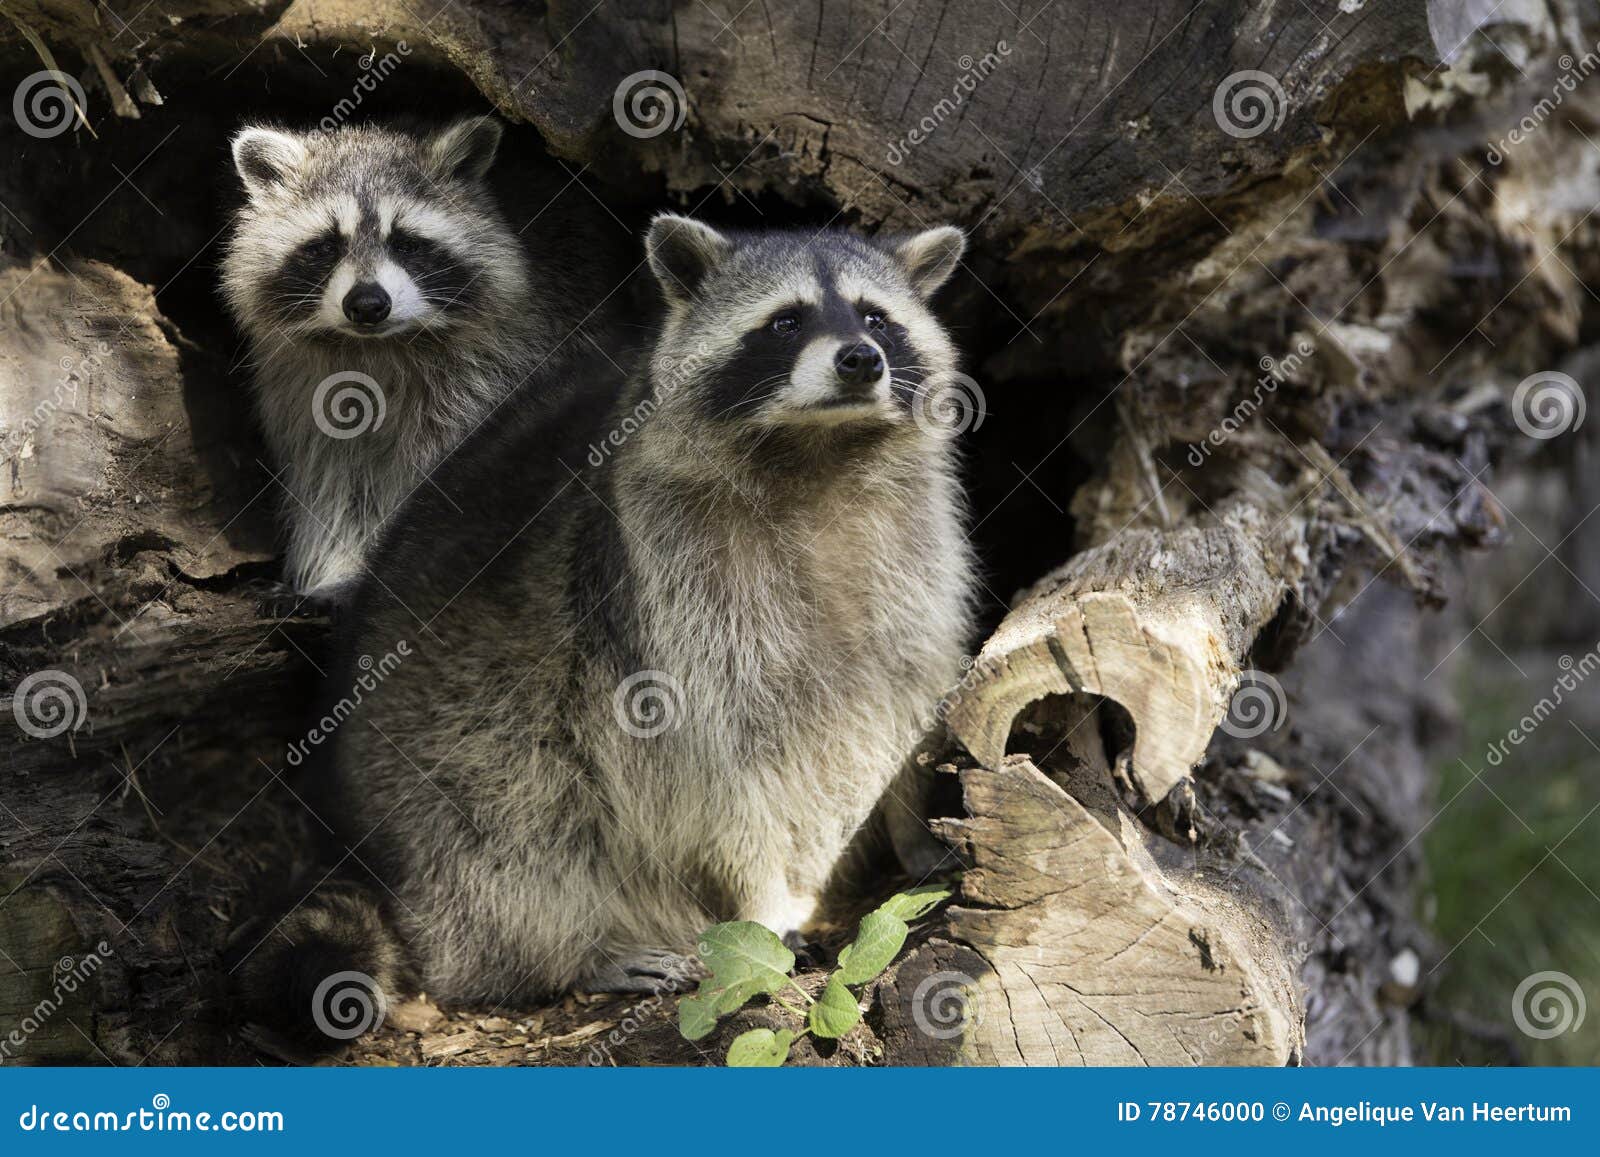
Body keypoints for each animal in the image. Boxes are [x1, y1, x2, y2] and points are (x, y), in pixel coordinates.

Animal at [220, 118, 574, 599]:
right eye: (326, 246)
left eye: (406, 244)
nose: (368, 304)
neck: (376, 346)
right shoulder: (301, 382)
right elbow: (331, 476)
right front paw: (333, 568)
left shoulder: (493, 372)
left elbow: (444, 475)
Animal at [241, 216, 975, 1025]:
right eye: (786, 322)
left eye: (877, 318)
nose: (860, 359)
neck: (820, 451)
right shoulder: (666, 594)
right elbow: (717, 769)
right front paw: (765, 899)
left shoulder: (913, 560)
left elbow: (902, 700)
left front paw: (910, 824)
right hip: (435, 767)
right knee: (517, 828)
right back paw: (571, 951)